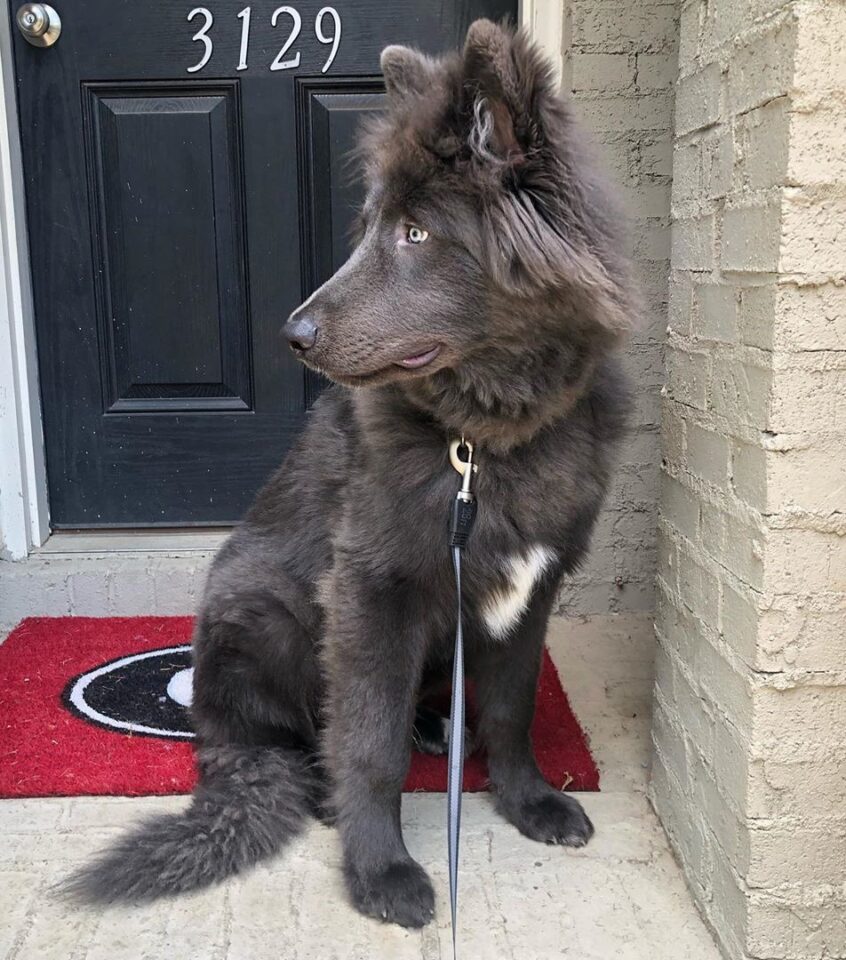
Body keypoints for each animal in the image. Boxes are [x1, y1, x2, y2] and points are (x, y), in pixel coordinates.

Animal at [66, 19, 635, 928]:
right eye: (371, 225)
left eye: (416, 235)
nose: (292, 335)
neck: (482, 440)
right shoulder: (372, 593)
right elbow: (367, 743)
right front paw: (380, 869)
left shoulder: (531, 590)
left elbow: (513, 708)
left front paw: (527, 800)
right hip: (262, 611)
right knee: (290, 735)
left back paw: (439, 729)